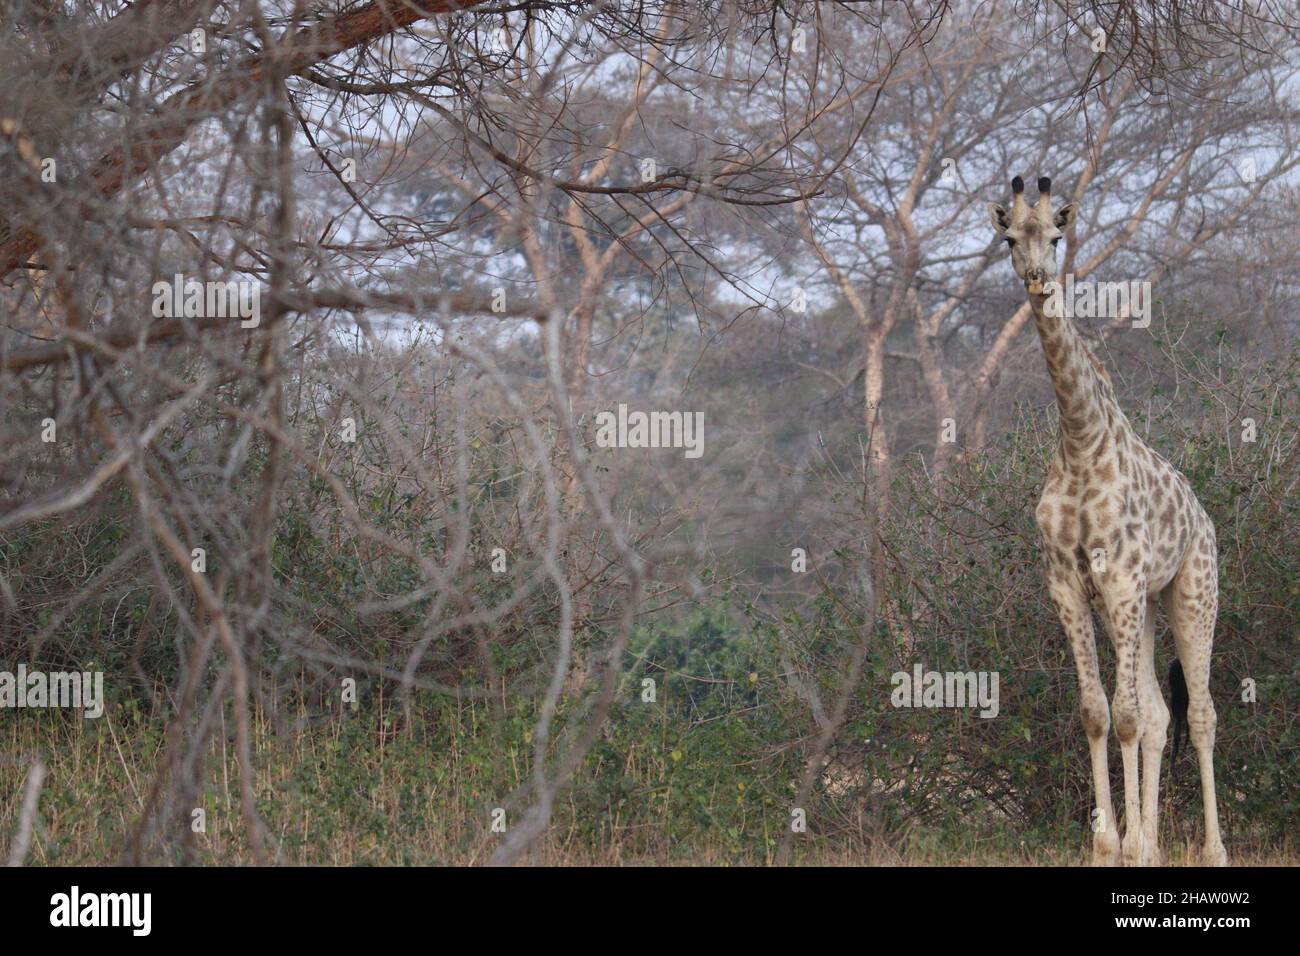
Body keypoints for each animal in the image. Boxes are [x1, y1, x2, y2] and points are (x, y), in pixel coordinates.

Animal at [987, 175, 1227, 867]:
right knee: (1159, 712)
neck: (1079, 440)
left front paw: (1127, 845)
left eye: (1057, 235)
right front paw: (1108, 844)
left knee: (1199, 713)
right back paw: (1152, 843)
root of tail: (1203, 517)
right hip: (1145, 605)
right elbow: (1100, 712)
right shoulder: (1067, 584)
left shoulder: (1117, 579)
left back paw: (1212, 851)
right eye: (1010, 239)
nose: (1038, 279)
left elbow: (1124, 716)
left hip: (1191, 594)